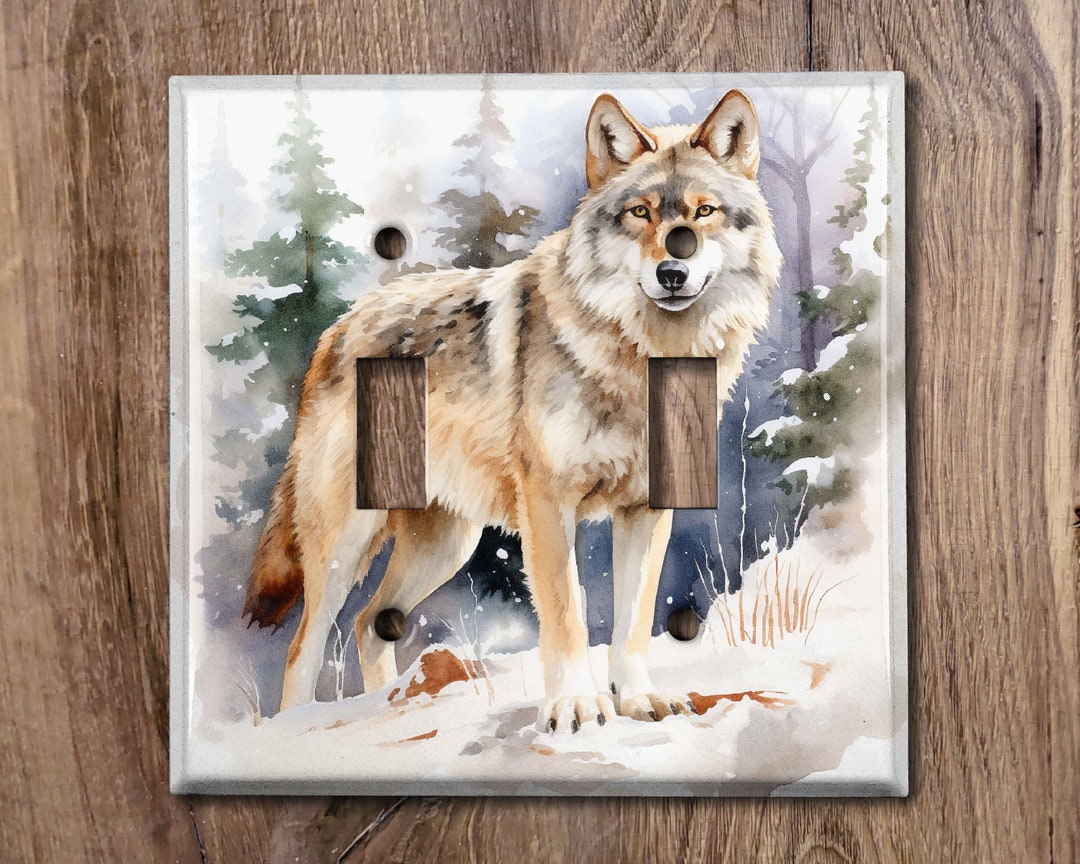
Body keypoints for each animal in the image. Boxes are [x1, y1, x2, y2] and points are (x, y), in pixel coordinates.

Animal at [244, 89, 782, 732]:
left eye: (704, 213)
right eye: (640, 213)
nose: (671, 272)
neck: (641, 361)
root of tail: (339, 326)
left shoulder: (646, 510)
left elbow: (633, 619)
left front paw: (637, 700)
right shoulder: (549, 503)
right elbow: (568, 613)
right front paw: (577, 708)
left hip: (446, 547)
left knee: (370, 624)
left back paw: (385, 706)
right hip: (344, 546)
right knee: (305, 646)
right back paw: (293, 729)